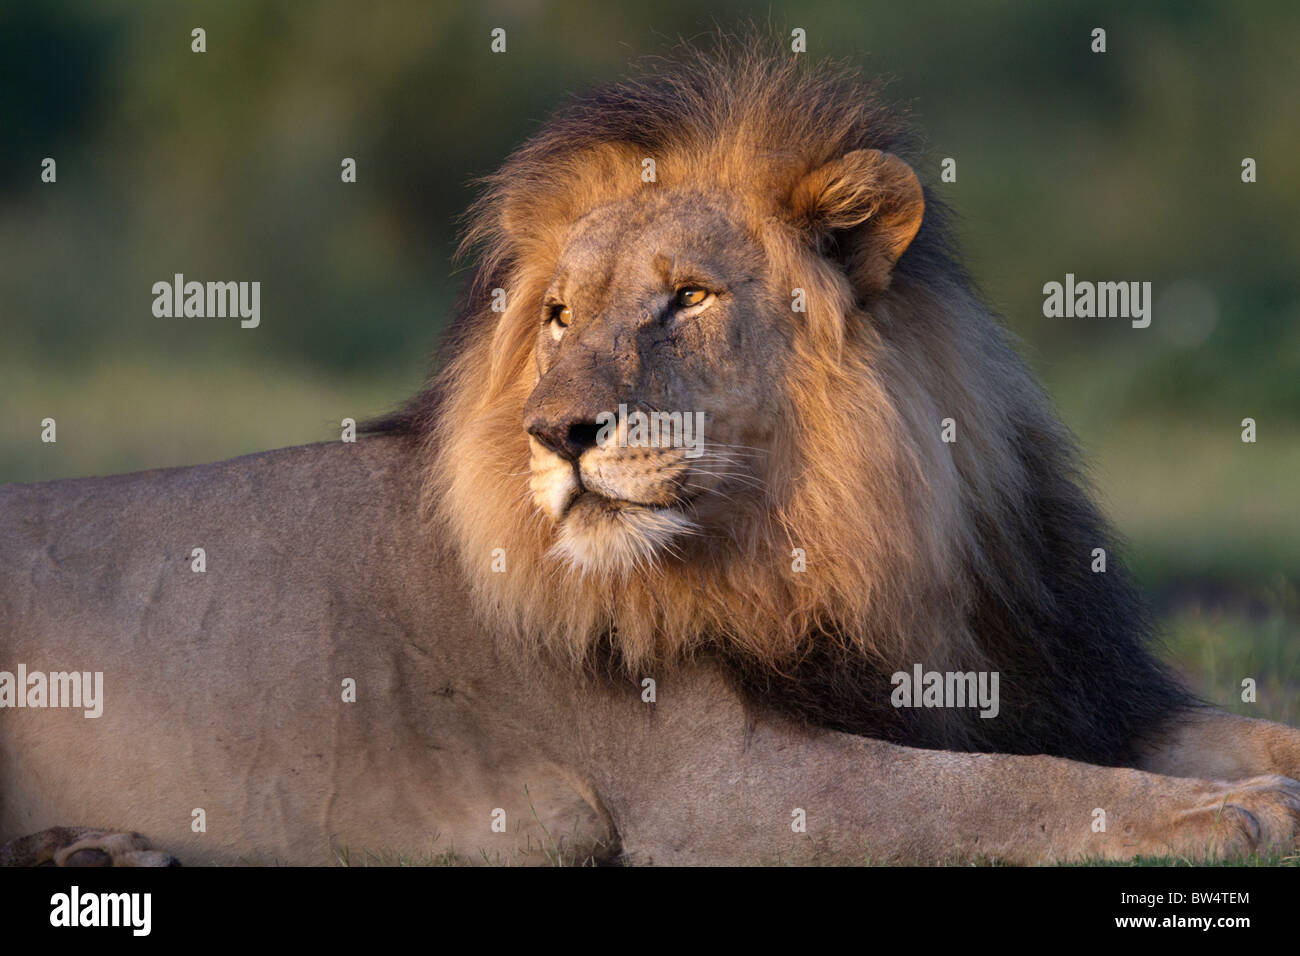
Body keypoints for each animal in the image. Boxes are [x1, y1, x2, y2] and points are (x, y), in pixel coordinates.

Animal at [3, 39, 1300, 867]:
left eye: (688, 297)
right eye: (559, 316)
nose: (557, 432)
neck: (845, 539)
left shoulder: (1049, 681)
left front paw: (1252, 775)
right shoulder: (720, 788)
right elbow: (1011, 792)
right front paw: (1232, 811)